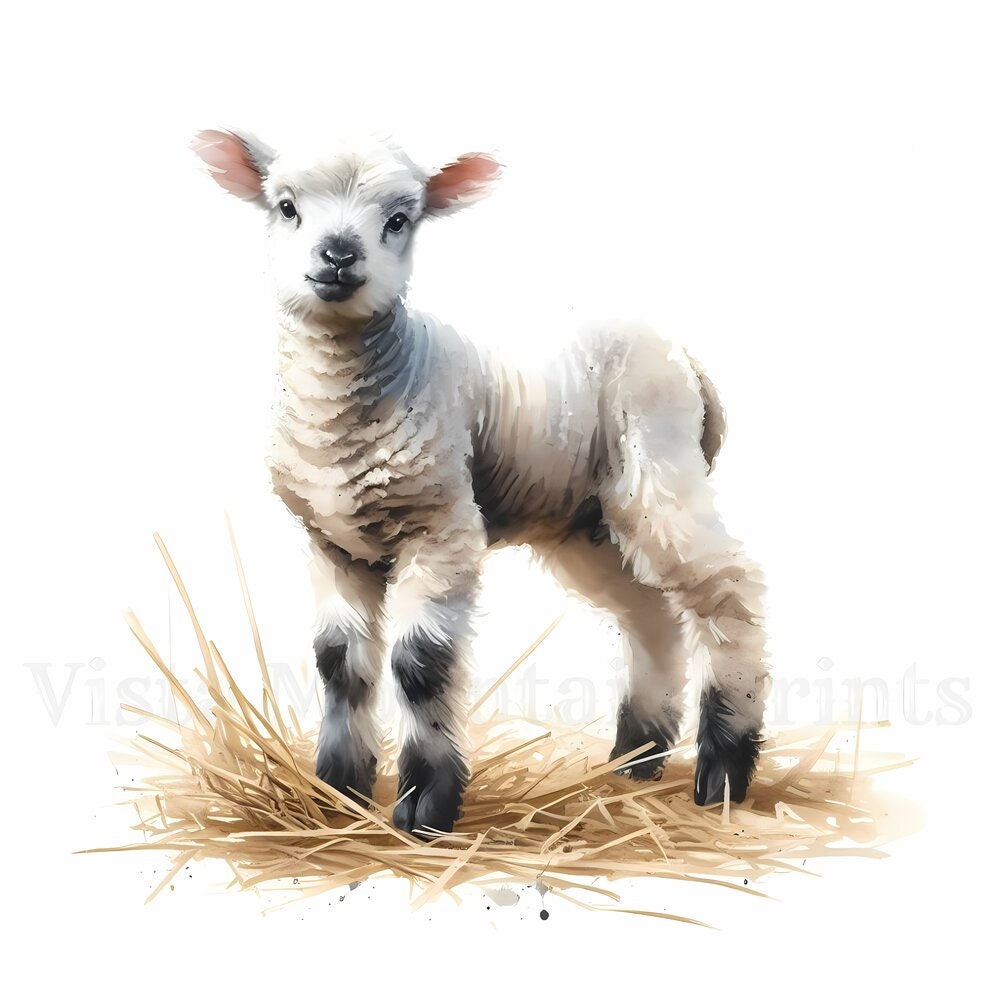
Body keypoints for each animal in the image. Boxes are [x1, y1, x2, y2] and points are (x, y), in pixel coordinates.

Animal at [192, 129, 772, 835]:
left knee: (729, 588)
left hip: (658, 465)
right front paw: (338, 794)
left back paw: (724, 769)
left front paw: (424, 806)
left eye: (400, 220)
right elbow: (338, 664)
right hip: (585, 521)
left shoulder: (442, 526)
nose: (338, 256)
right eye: (285, 206)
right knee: (649, 613)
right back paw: (634, 758)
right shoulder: (331, 542)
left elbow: (419, 665)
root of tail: (682, 355)